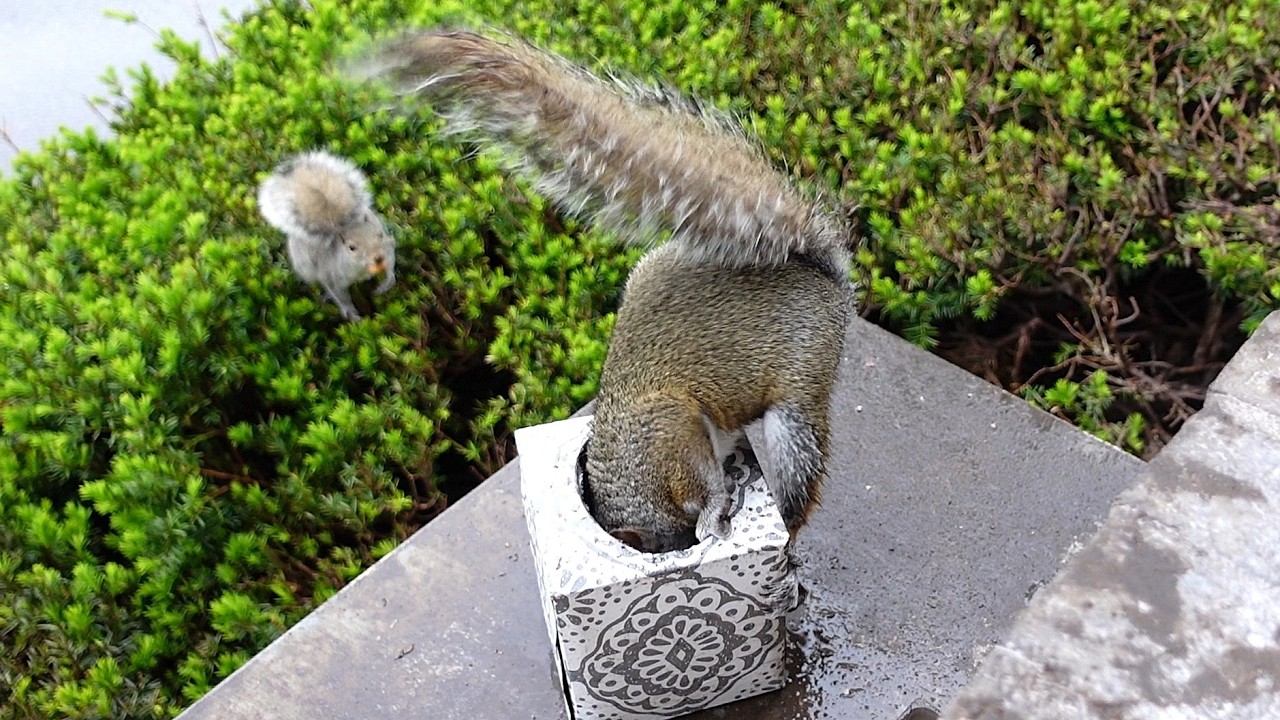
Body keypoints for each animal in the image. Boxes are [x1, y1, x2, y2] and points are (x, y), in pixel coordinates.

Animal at [257, 150, 396, 320]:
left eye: (380, 235)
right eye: (351, 247)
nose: (378, 257)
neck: (362, 269)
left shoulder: (388, 246)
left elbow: (391, 260)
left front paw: (387, 281)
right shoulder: (331, 276)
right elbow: (340, 296)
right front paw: (351, 314)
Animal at [358, 29, 855, 552]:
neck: (625, 463)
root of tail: (825, 275)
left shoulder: (666, 428)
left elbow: (703, 480)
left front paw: (714, 511)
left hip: (798, 391)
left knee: (802, 467)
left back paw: (789, 527)